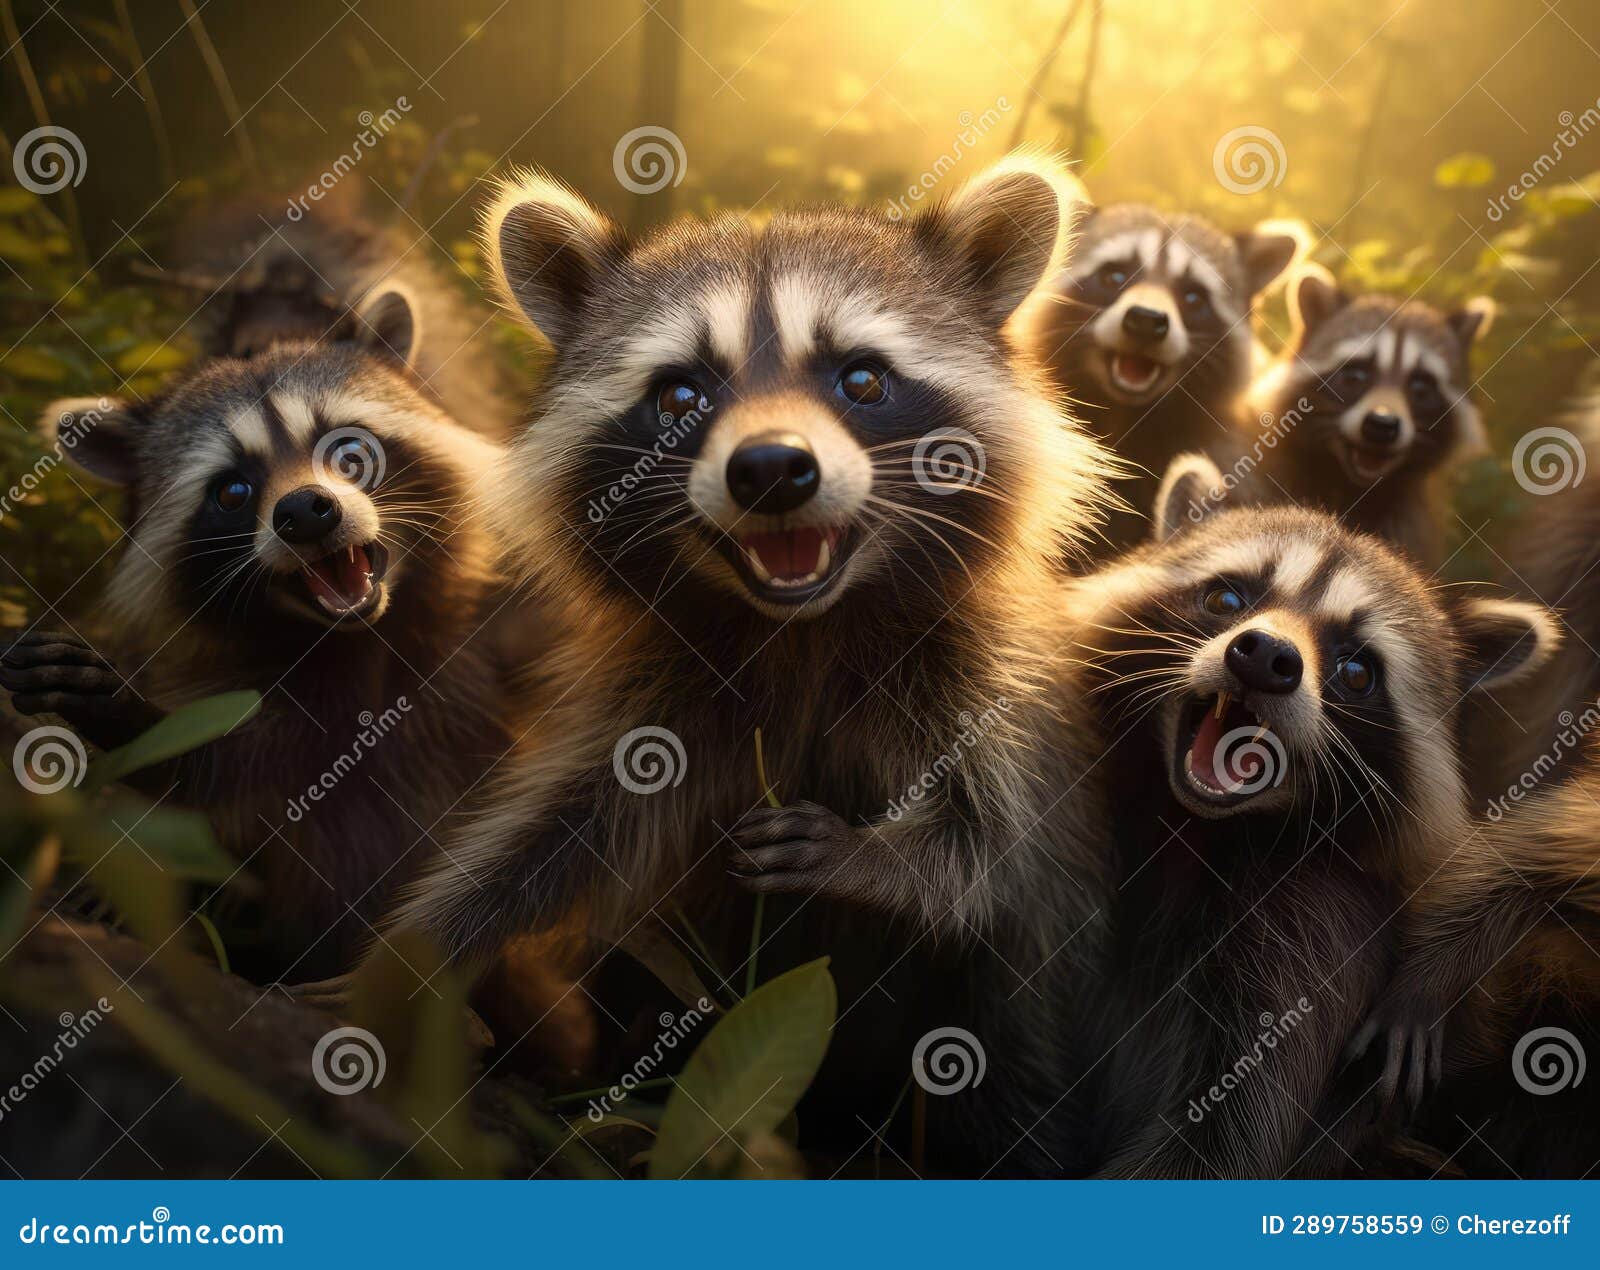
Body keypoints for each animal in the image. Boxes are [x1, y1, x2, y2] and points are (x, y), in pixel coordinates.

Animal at [1, 296, 522, 981]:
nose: (304, 513)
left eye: (349, 452)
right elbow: (247, 785)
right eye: (232, 491)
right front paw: (138, 724)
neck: (354, 637)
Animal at [376, 155, 1118, 1173]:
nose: (771, 469)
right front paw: (418, 958)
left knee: (1013, 1039)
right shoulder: (659, 697)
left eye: (861, 378)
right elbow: (562, 836)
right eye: (682, 396)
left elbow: (1004, 859)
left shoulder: (992, 681)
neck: (801, 628)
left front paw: (874, 858)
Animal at [1058, 452, 1555, 1177]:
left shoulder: (1323, 930)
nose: (1265, 658)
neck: (1200, 827)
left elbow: (1225, 1137)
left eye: (1356, 671)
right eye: (1227, 600)